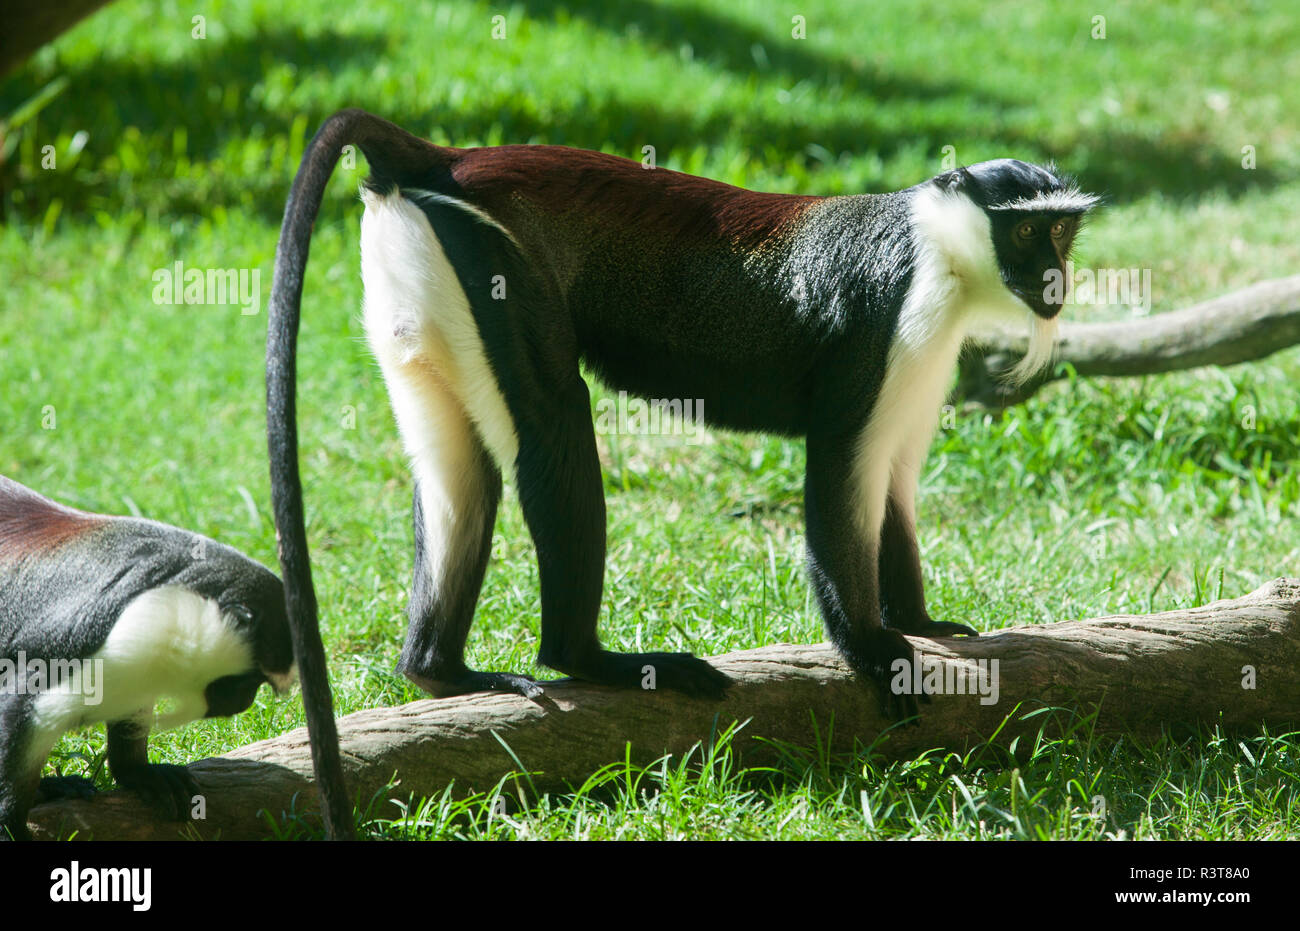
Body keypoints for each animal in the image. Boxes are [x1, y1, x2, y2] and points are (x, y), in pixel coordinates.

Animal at [268, 109, 1099, 838]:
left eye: (1062, 230)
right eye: (1028, 230)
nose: (1054, 276)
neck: (938, 247)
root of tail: (441, 157)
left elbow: (892, 483)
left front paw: (919, 622)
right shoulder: (890, 316)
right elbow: (842, 470)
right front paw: (870, 646)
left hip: (429, 289)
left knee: (460, 469)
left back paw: (438, 670)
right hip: (492, 261)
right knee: (552, 414)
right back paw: (587, 658)